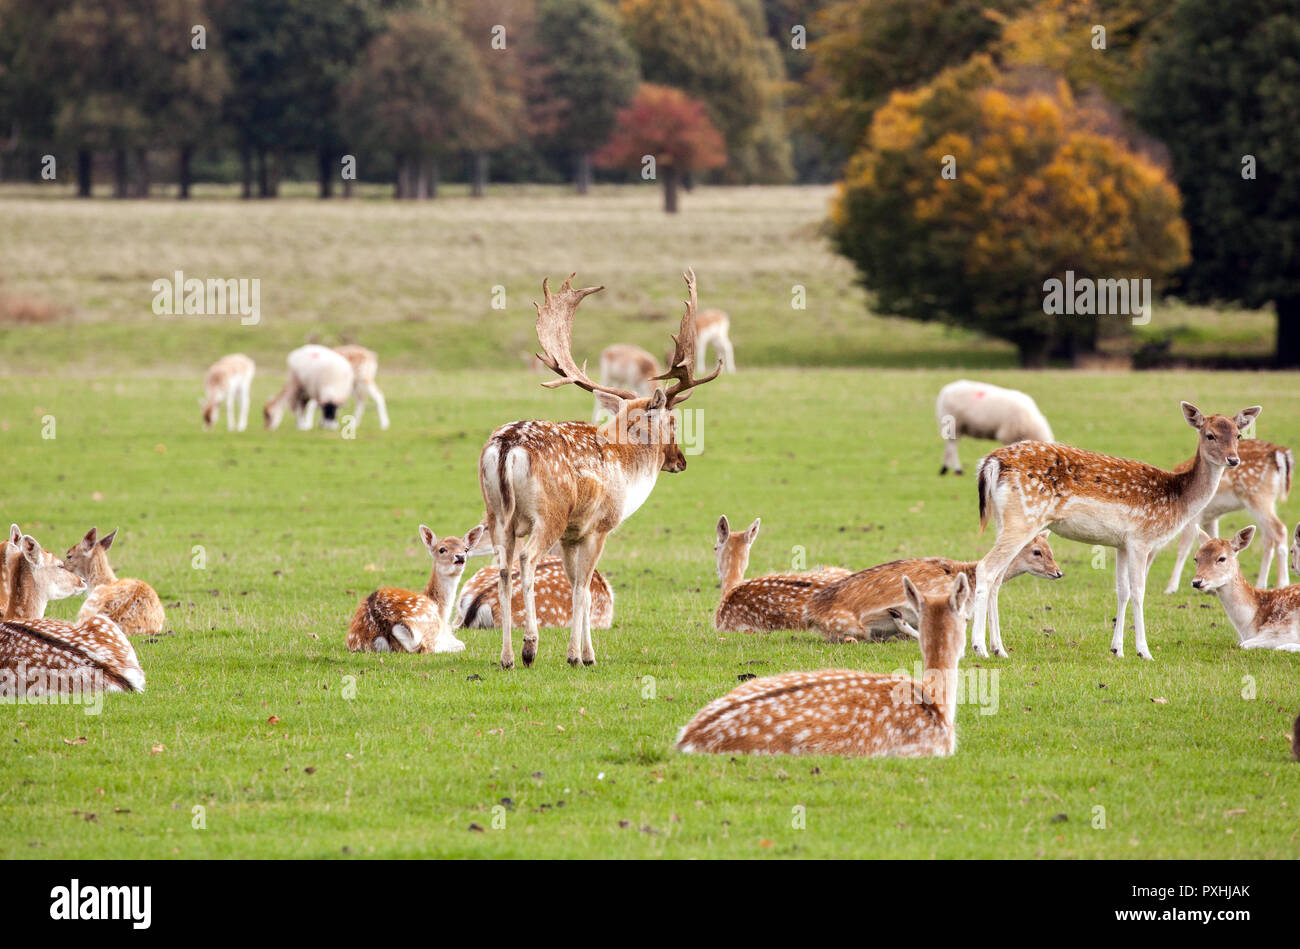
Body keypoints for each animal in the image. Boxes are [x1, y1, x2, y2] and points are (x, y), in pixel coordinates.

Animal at [348, 525, 485, 653]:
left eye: (466, 549)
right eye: (442, 549)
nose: (460, 556)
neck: (442, 611)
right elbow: (459, 643)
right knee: (428, 647)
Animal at [479, 269, 721, 669]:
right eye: (673, 422)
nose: (681, 461)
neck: (628, 469)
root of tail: (507, 445)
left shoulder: (572, 534)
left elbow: (581, 589)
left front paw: (584, 652)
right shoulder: (599, 527)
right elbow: (582, 589)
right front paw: (580, 656)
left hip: (497, 514)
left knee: (502, 565)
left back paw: (506, 656)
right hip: (549, 513)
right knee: (526, 560)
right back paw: (529, 647)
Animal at [971, 401, 1262, 660]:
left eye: (1238, 434)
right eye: (1209, 434)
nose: (1233, 459)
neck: (1178, 501)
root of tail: (991, 463)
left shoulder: (1121, 544)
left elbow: (1122, 591)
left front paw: (1117, 649)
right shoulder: (1141, 539)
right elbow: (1139, 591)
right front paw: (1144, 651)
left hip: (1004, 520)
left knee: (998, 576)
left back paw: (999, 649)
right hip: (1023, 518)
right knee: (985, 568)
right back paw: (980, 648)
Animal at [1163, 438, 1293, 592]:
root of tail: (1279, 453)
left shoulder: (1194, 516)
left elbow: (1183, 547)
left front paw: (1171, 587)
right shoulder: (1210, 517)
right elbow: (1212, 539)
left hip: (1258, 496)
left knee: (1280, 530)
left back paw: (1283, 583)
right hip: (1266, 501)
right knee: (1268, 538)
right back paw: (1261, 584)